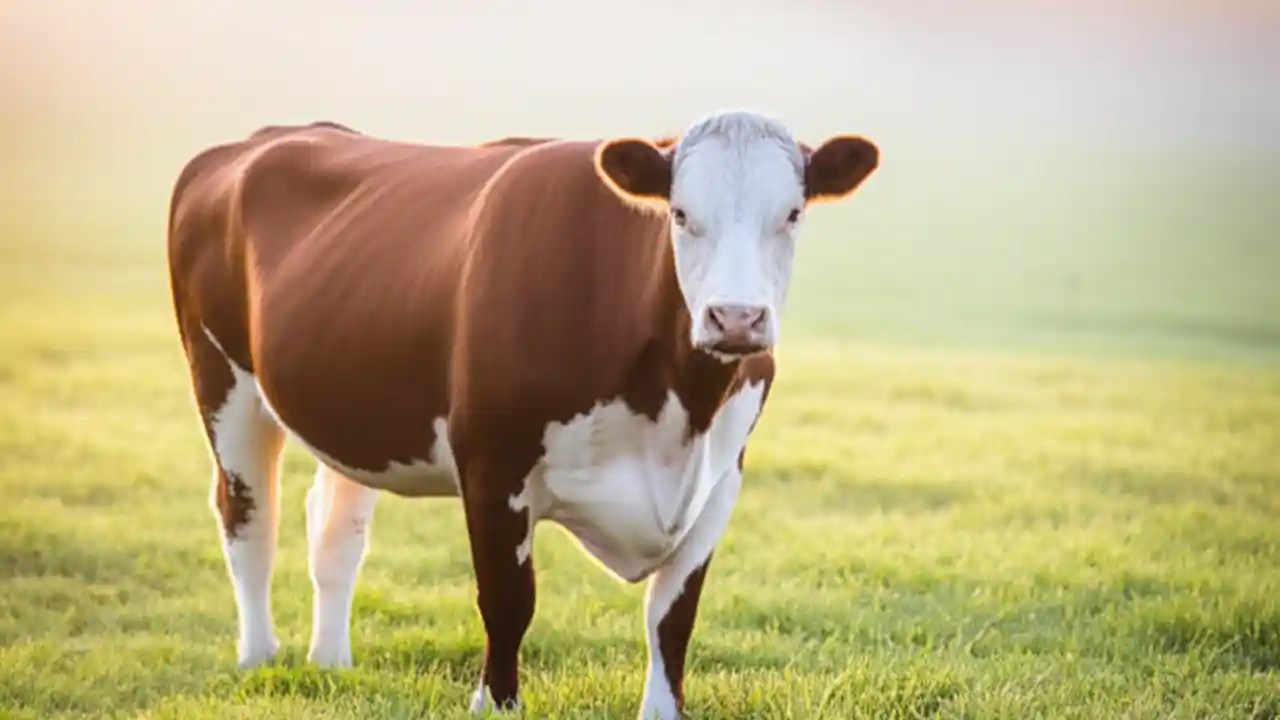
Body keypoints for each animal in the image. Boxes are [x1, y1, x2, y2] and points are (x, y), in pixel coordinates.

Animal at [166, 110, 878, 718]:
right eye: (680, 214)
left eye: (792, 214)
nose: (735, 318)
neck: (674, 412)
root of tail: (257, 141)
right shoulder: (491, 465)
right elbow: (509, 602)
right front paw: (497, 702)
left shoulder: (721, 476)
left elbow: (672, 615)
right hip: (223, 381)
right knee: (249, 518)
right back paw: (260, 658)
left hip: (352, 402)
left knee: (336, 530)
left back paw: (332, 661)